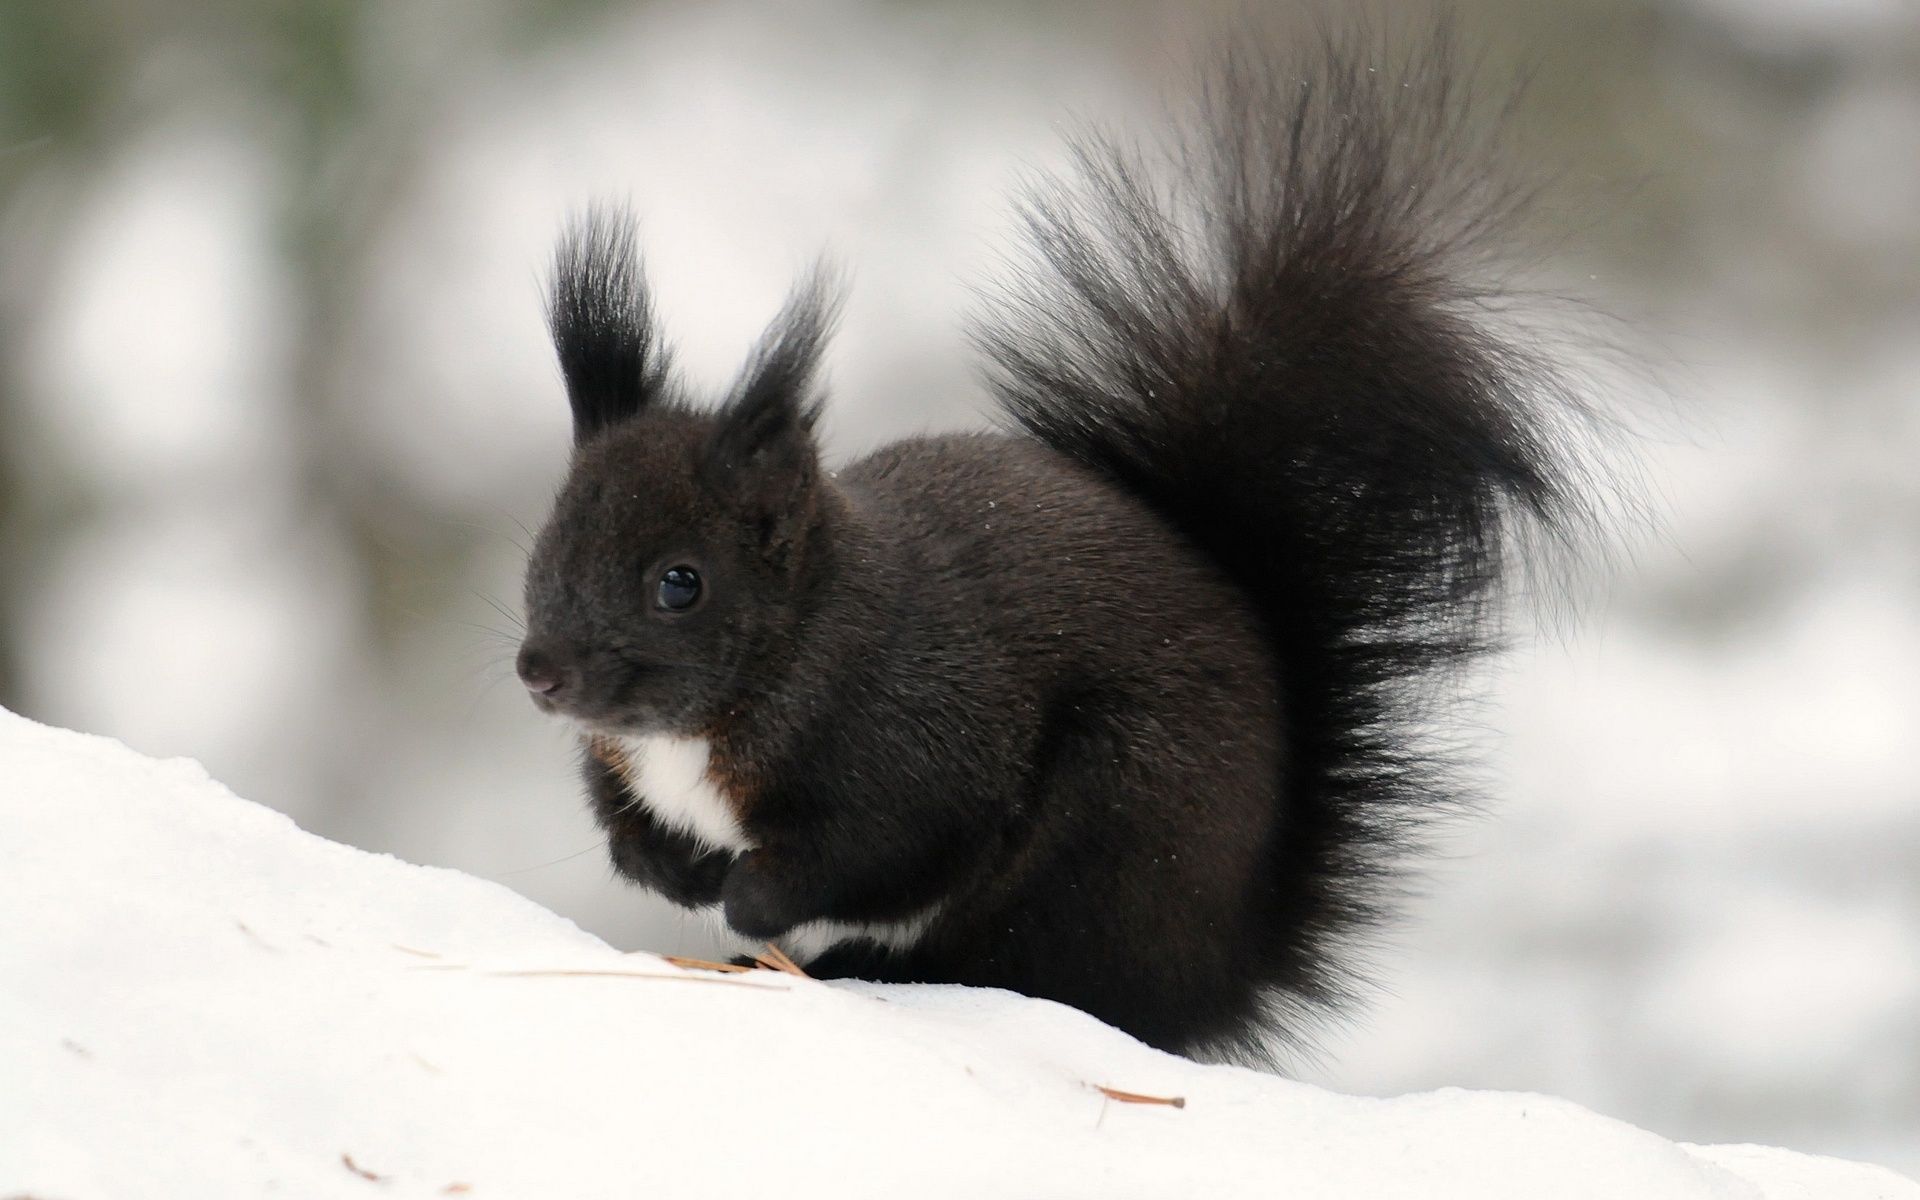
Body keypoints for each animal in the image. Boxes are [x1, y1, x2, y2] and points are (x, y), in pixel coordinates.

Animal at [514, 30, 1606, 1062]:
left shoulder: (917, 748)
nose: (540, 674)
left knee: (1025, 965)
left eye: (680, 583)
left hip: (1108, 830)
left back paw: (857, 964)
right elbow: (626, 825)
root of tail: (1225, 966)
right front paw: (670, 868)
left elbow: (872, 855)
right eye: (547, 545)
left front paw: (744, 897)